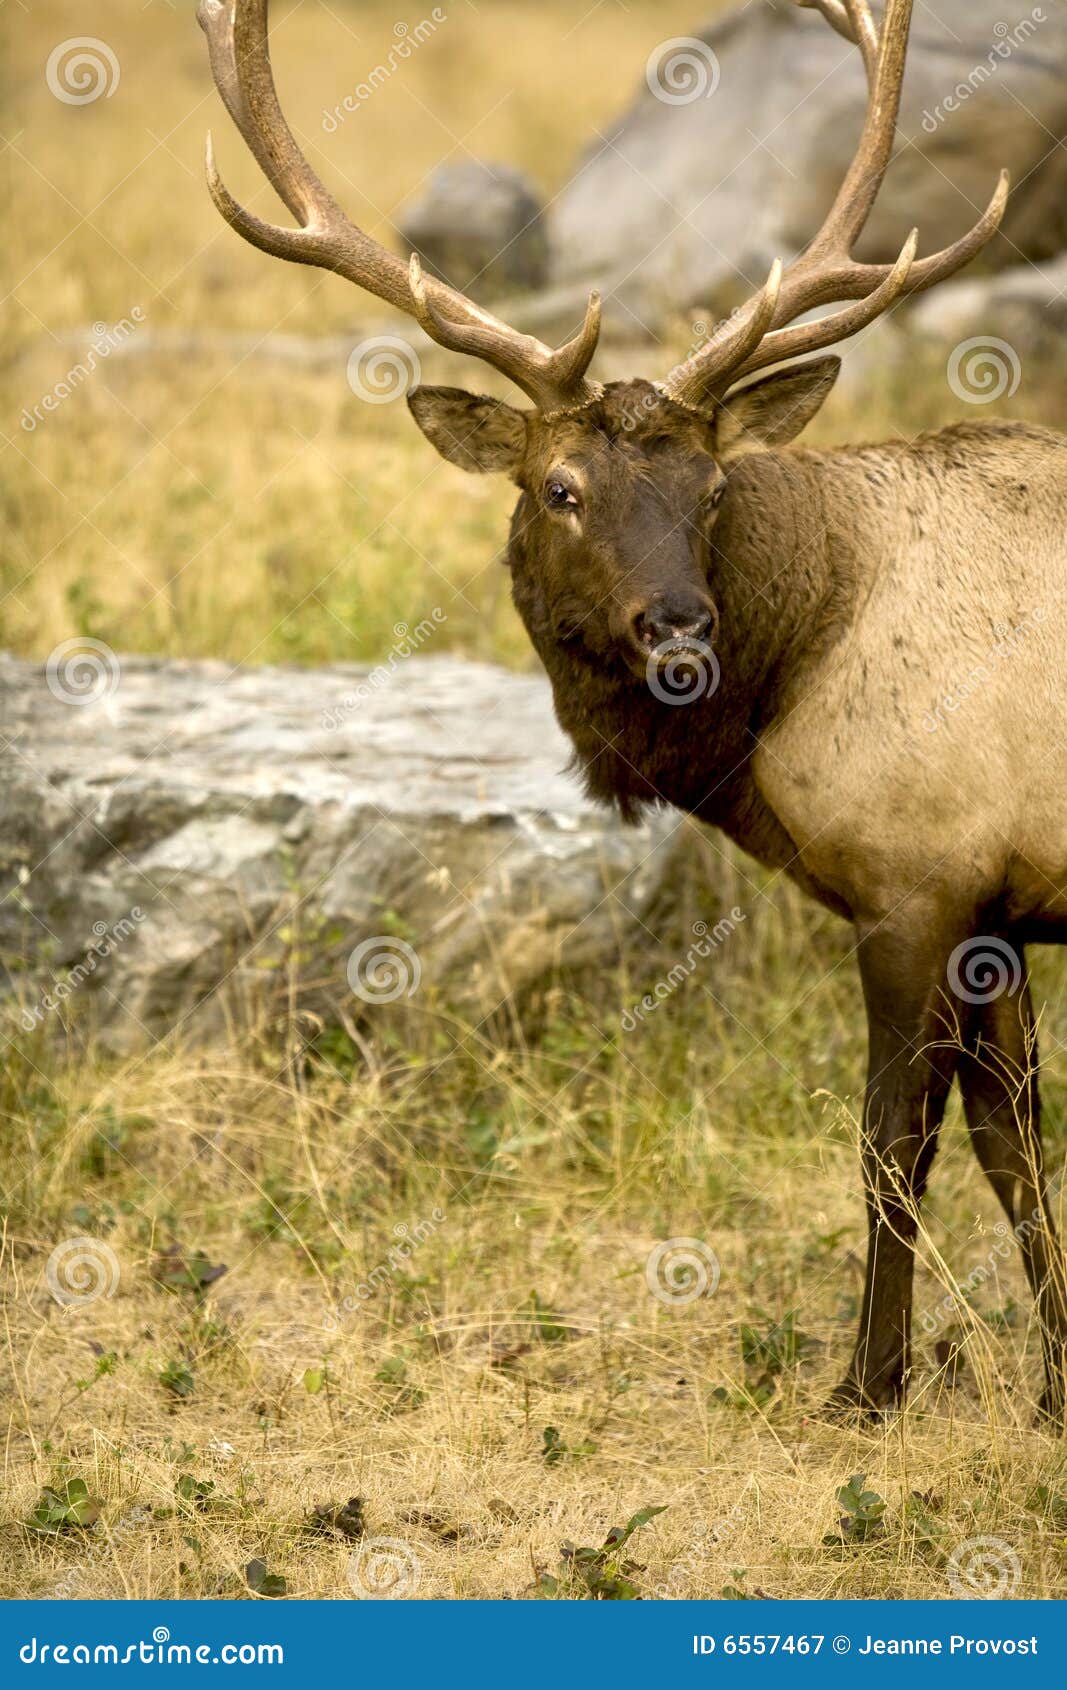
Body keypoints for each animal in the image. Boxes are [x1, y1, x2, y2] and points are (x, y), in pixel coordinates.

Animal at [199, 0, 1067, 1425]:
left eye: (712, 488)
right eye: (558, 487)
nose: (677, 631)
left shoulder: (915, 879)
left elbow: (890, 1149)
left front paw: (863, 1387)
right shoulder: (987, 902)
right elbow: (1015, 1152)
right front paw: (1050, 1387)